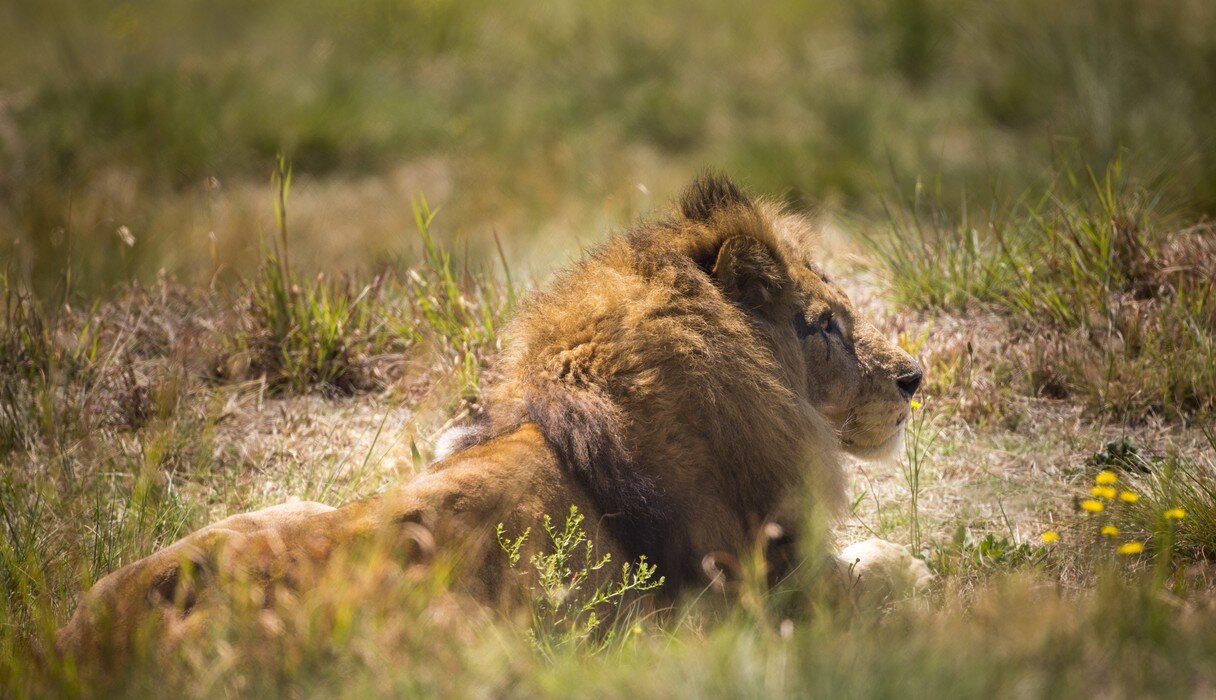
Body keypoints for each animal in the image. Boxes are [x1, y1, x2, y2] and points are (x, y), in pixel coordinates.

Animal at [56, 175, 928, 665]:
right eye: (826, 326)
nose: (914, 377)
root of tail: (80, 648)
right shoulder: (771, 590)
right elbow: (881, 568)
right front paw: (914, 569)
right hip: (465, 626)